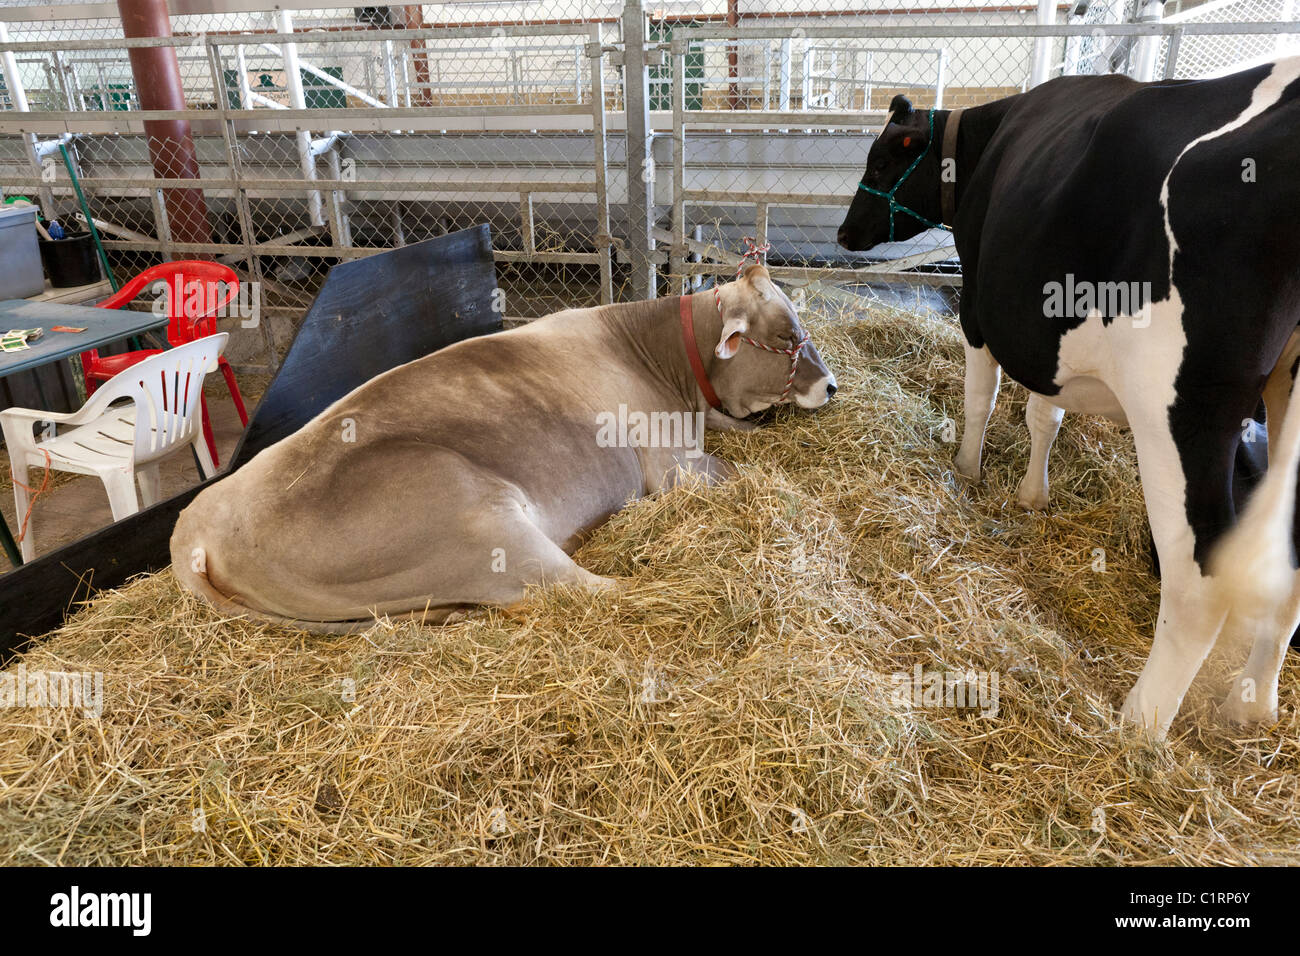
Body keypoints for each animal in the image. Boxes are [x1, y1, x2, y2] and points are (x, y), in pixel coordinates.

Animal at [171, 263, 836, 632]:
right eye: (787, 335)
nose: (831, 386)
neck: (654, 354)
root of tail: (196, 529)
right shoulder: (671, 464)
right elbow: (734, 471)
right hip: (482, 520)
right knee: (587, 590)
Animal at [837, 58, 1300, 736]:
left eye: (877, 164)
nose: (844, 232)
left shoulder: (979, 308)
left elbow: (985, 399)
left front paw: (967, 469)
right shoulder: (1045, 334)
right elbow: (1044, 414)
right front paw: (1033, 495)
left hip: (1182, 408)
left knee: (1199, 582)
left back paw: (1139, 725)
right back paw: (1253, 703)